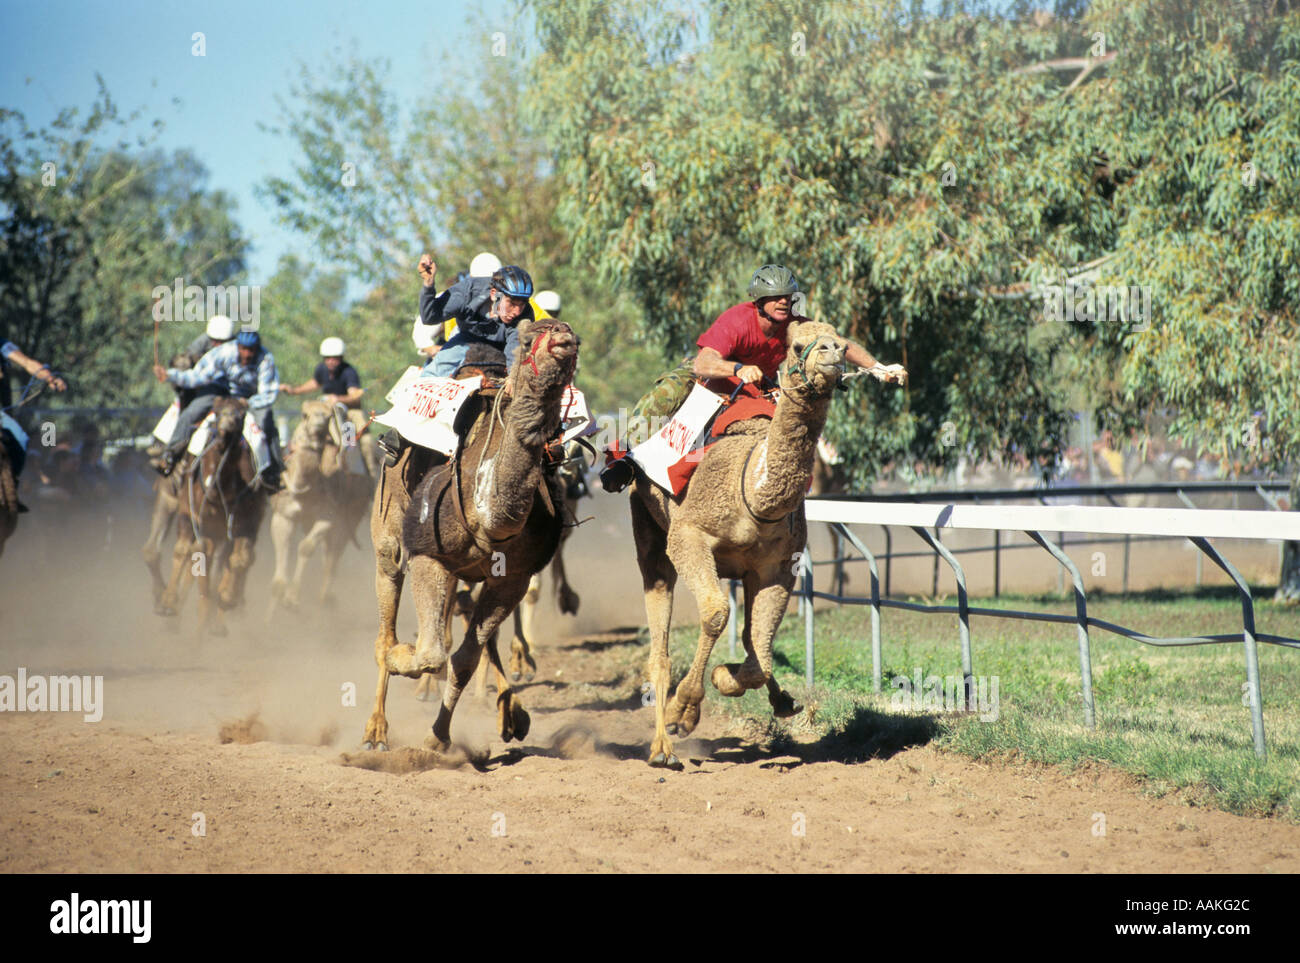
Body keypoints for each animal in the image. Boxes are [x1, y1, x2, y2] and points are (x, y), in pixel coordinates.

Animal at [156, 396, 268, 636]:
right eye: (216, 413)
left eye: (241, 415)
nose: (225, 430)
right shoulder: (198, 521)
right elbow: (195, 555)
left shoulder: (247, 525)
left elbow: (238, 560)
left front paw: (227, 600)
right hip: (189, 517)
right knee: (186, 552)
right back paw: (171, 603)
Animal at [267, 399, 371, 613]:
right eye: (304, 414)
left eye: (328, 416)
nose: (317, 427)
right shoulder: (283, 516)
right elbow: (278, 582)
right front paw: (271, 613)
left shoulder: (329, 517)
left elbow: (306, 547)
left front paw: (292, 598)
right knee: (327, 551)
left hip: (351, 517)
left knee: (334, 554)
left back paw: (325, 598)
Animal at [362, 319, 579, 751]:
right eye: (529, 338)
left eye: (572, 335)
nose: (563, 338)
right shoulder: (429, 556)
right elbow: (430, 652)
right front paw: (402, 657)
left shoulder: (512, 578)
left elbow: (463, 657)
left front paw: (440, 737)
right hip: (388, 536)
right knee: (386, 619)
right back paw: (376, 729)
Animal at [629, 320, 873, 769]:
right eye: (798, 345)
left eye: (843, 343)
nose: (832, 352)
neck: (752, 489)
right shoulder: (689, 536)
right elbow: (715, 615)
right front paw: (683, 709)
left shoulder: (775, 567)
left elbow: (759, 646)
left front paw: (728, 678)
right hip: (649, 527)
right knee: (660, 638)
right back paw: (662, 748)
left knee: (746, 638)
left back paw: (778, 701)